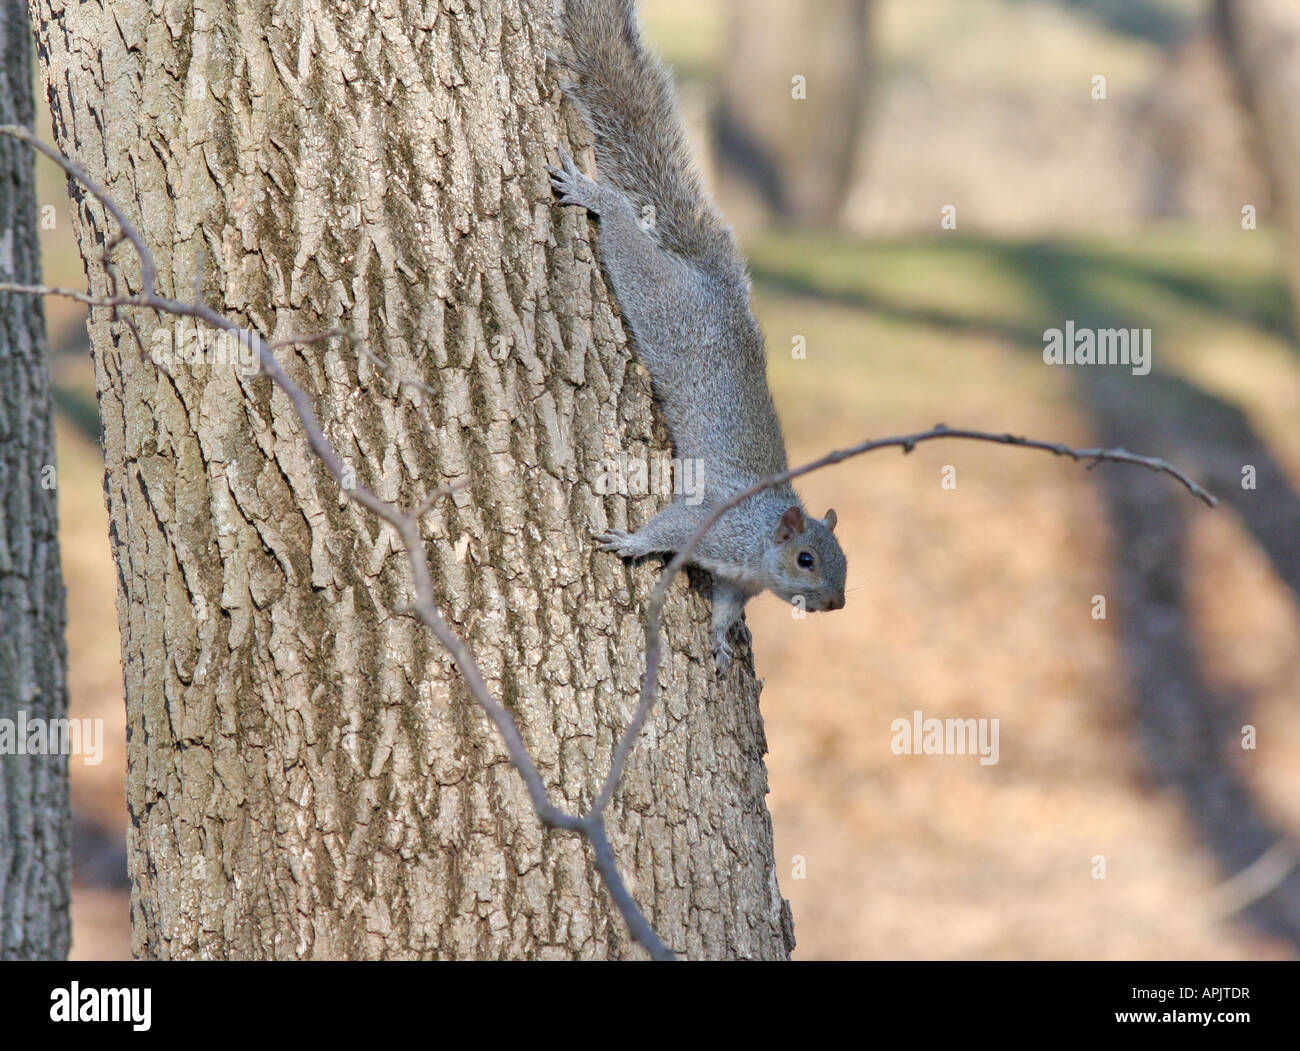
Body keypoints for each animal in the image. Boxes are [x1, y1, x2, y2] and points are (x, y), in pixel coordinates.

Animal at [549, 0, 847, 672]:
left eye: (846, 564)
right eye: (806, 559)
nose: (837, 604)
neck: (758, 544)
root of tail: (718, 290)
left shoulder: (739, 581)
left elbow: (726, 607)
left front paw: (718, 641)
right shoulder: (711, 526)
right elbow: (669, 529)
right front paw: (630, 542)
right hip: (660, 301)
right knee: (627, 243)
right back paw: (596, 197)